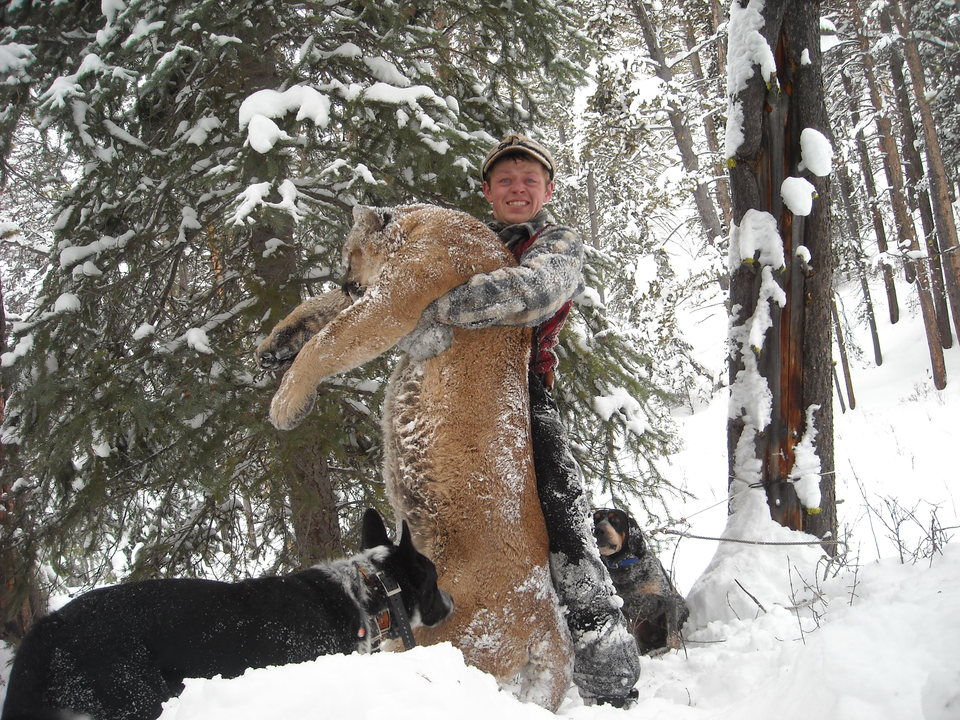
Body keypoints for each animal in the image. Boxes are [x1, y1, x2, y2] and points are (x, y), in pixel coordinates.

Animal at [256, 204, 573, 710]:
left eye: (350, 251)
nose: (347, 280)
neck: (424, 222)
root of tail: (548, 616)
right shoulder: (377, 294)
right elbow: (319, 309)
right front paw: (276, 344)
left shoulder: (395, 297)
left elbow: (329, 340)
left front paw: (287, 404)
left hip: (433, 631)